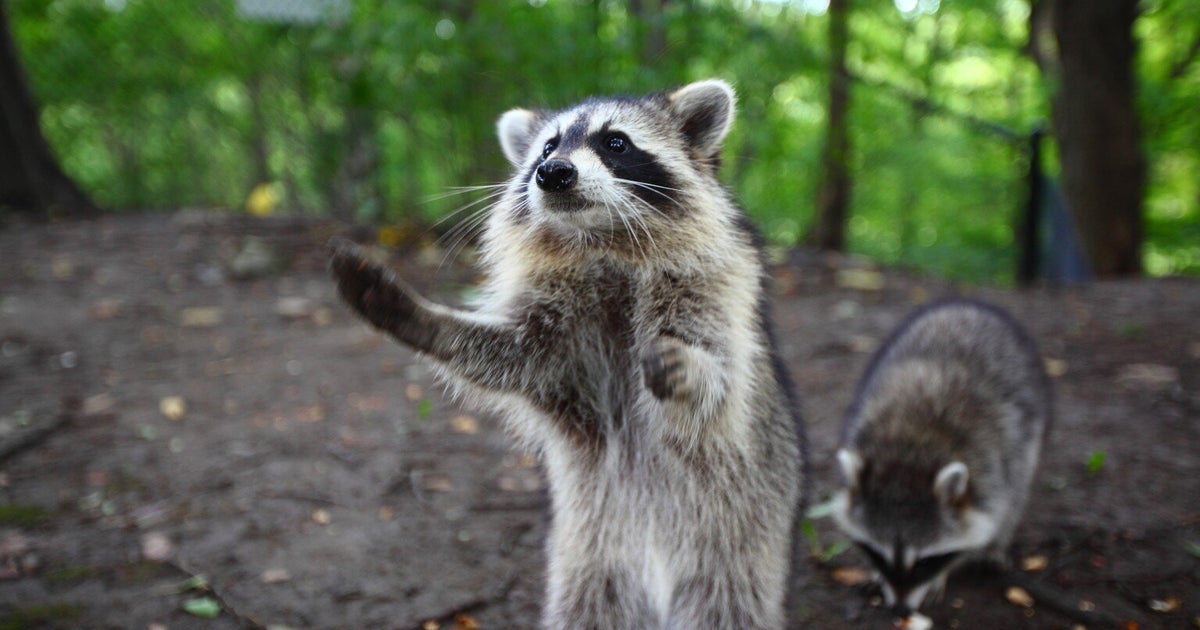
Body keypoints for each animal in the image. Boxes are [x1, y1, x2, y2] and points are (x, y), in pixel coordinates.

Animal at [330, 80, 807, 629]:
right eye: (547, 148)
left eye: (616, 142)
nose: (553, 172)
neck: (603, 241)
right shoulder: (561, 342)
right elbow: (510, 355)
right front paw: (424, 319)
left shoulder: (715, 293)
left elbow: (724, 386)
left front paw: (692, 371)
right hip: (590, 562)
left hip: (735, 557)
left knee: (727, 606)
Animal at [831, 298, 1051, 617]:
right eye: (880, 555)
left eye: (924, 563)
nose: (900, 610)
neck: (909, 453)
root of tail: (966, 306)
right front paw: (875, 574)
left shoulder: (991, 472)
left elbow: (991, 514)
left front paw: (944, 573)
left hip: (1028, 419)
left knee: (1018, 488)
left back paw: (997, 545)